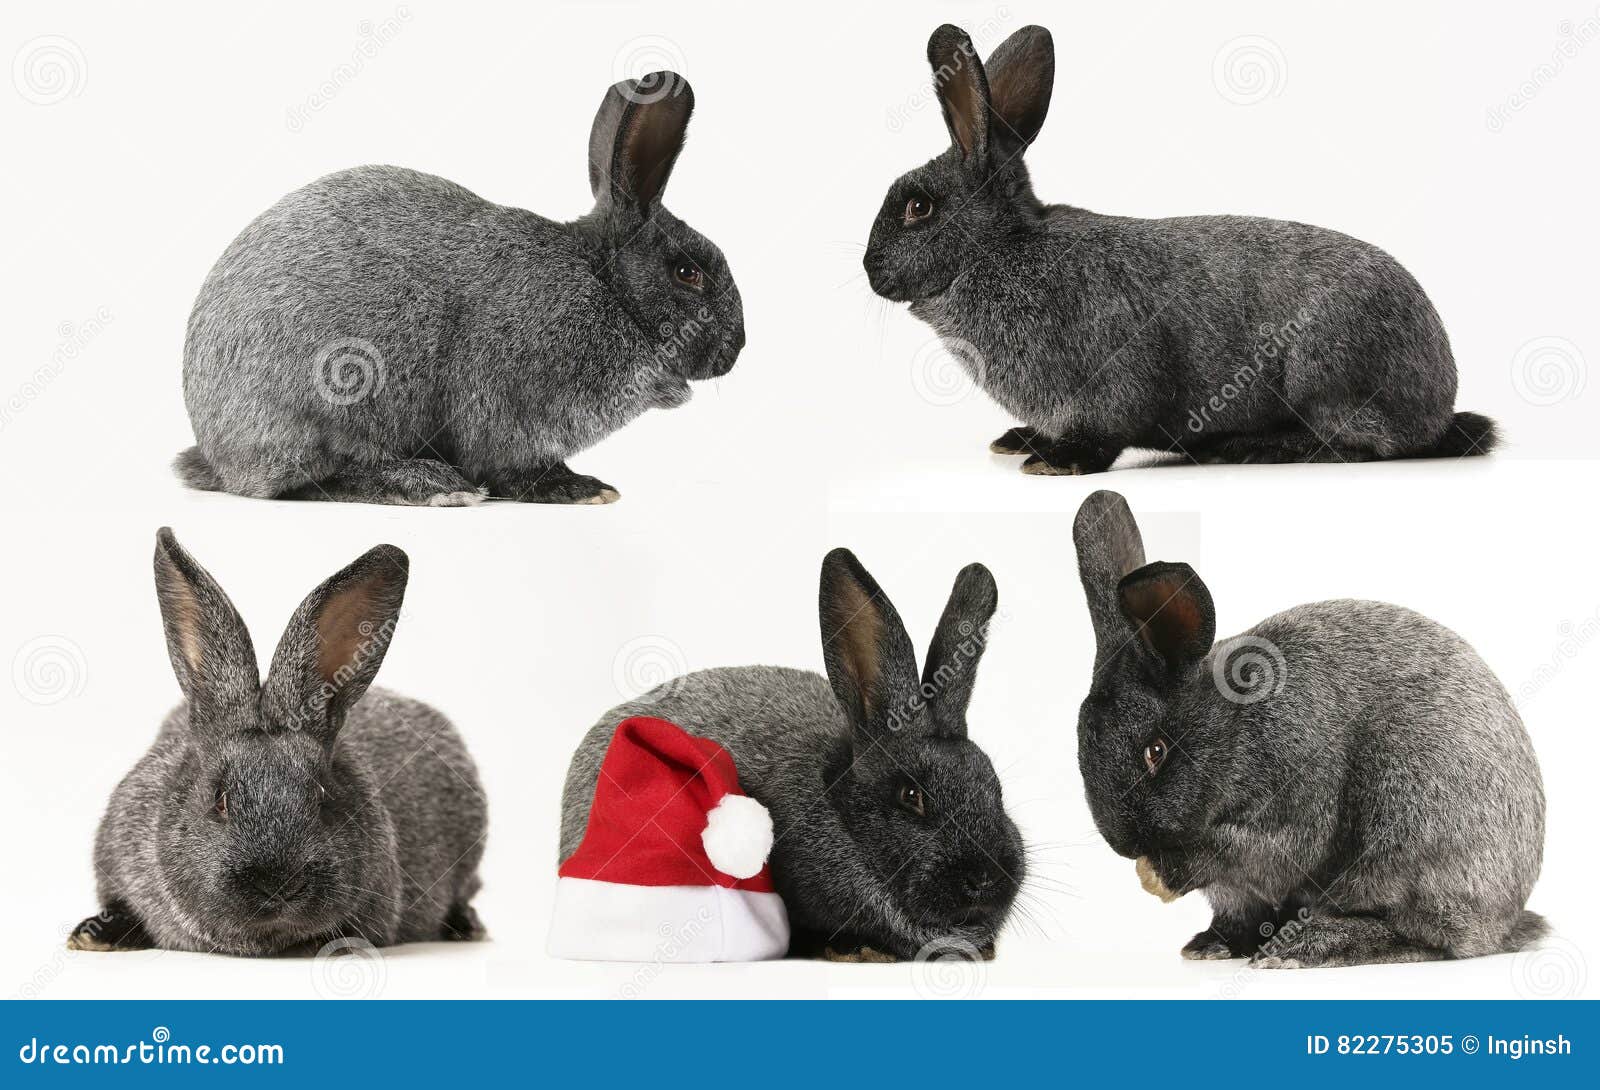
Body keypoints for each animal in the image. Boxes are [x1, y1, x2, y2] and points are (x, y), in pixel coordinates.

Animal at [175, 70, 743, 507]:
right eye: (687, 272)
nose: (737, 350)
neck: (604, 284)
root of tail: (216, 453)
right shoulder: (509, 406)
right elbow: (516, 467)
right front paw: (582, 488)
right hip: (325, 410)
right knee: (317, 479)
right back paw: (431, 484)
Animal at [864, 25, 1498, 475]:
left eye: (918, 207)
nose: (870, 270)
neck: (1000, 250)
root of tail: (1438, 401)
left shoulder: (1110, 381)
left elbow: (1103, 434)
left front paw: (1055, 463)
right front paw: (1020, 441)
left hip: (1322, 374)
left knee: (1365, 445)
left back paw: (1247, 448)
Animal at [1071, 489, 1546, 968]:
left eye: (1156, 751)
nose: (1127, 845)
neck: (1234, 725)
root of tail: (1505, 921)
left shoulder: (1292, 807)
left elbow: (1243, 854)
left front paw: (1159, 877)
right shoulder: (1235, 892)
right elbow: (1236, 910)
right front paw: (1211, 943)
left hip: (1409, 837)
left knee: (1420, 935)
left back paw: (1305, 947)